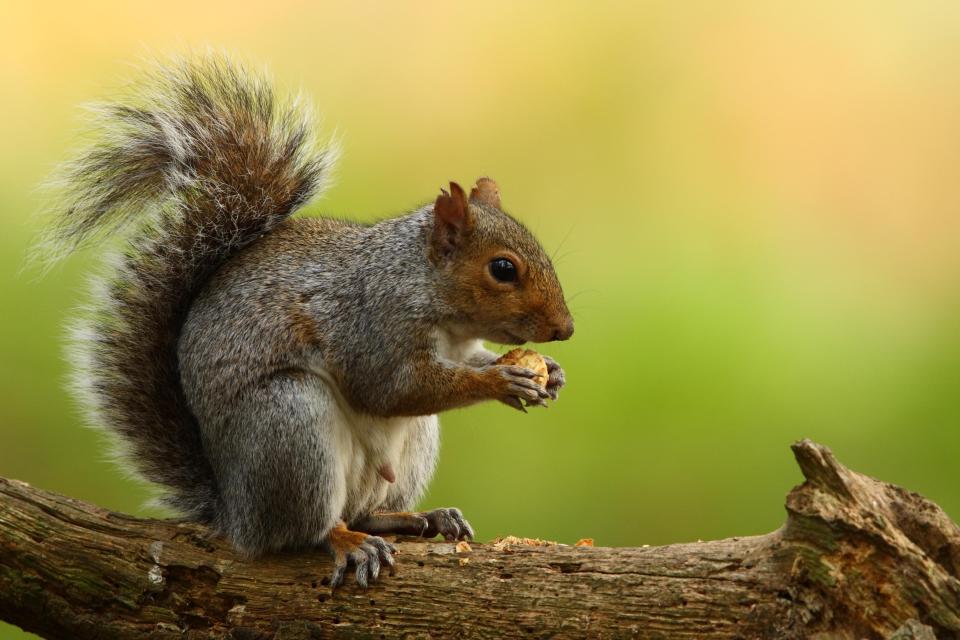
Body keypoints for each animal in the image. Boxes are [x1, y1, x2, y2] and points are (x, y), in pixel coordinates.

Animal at [41, 55, 573, 588]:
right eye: (503, 268)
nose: (565, 329)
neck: (429, 292)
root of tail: (235, 514)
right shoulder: (372, 325)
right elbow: (390, 389)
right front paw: (501, 380)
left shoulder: (457, 348)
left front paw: (548, 372)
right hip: (290, 422)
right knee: (306, 529)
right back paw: (348, 542)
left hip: (409, 445)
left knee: (365, 510)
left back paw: (421, 517)